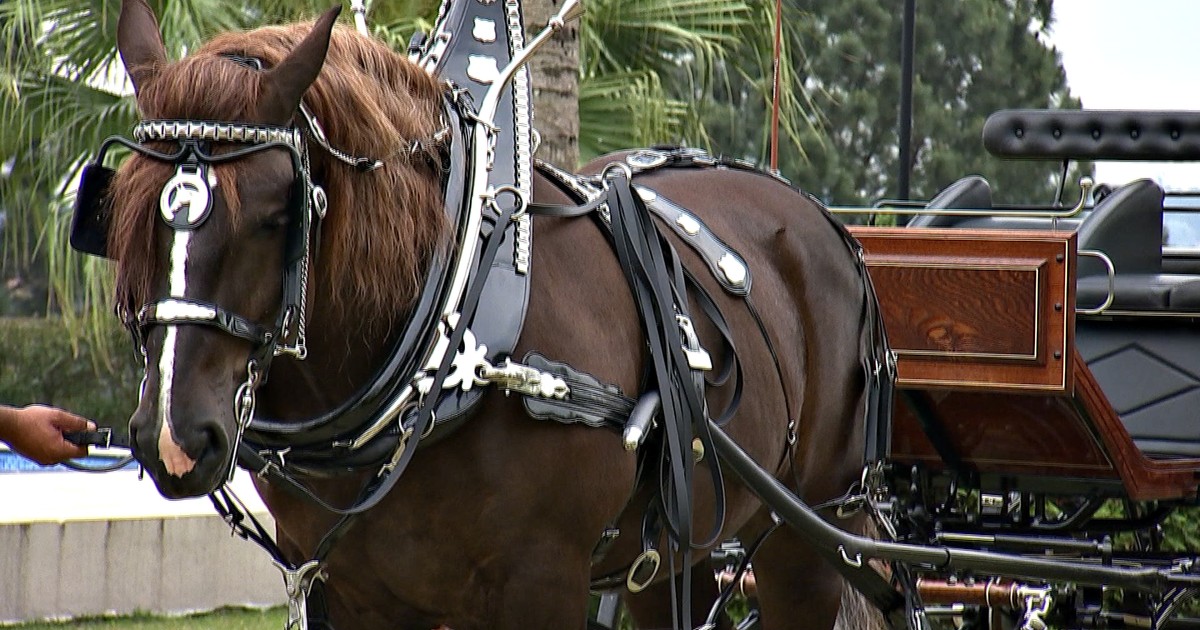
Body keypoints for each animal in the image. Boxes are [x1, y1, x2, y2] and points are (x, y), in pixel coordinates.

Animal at [100, 1, 888, 628]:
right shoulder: (354, 594)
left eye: (273, 215)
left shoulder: (543, 583)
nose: (173, 435)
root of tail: (822, 218)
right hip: (679, 541)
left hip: (816, 534)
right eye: (122, 212)